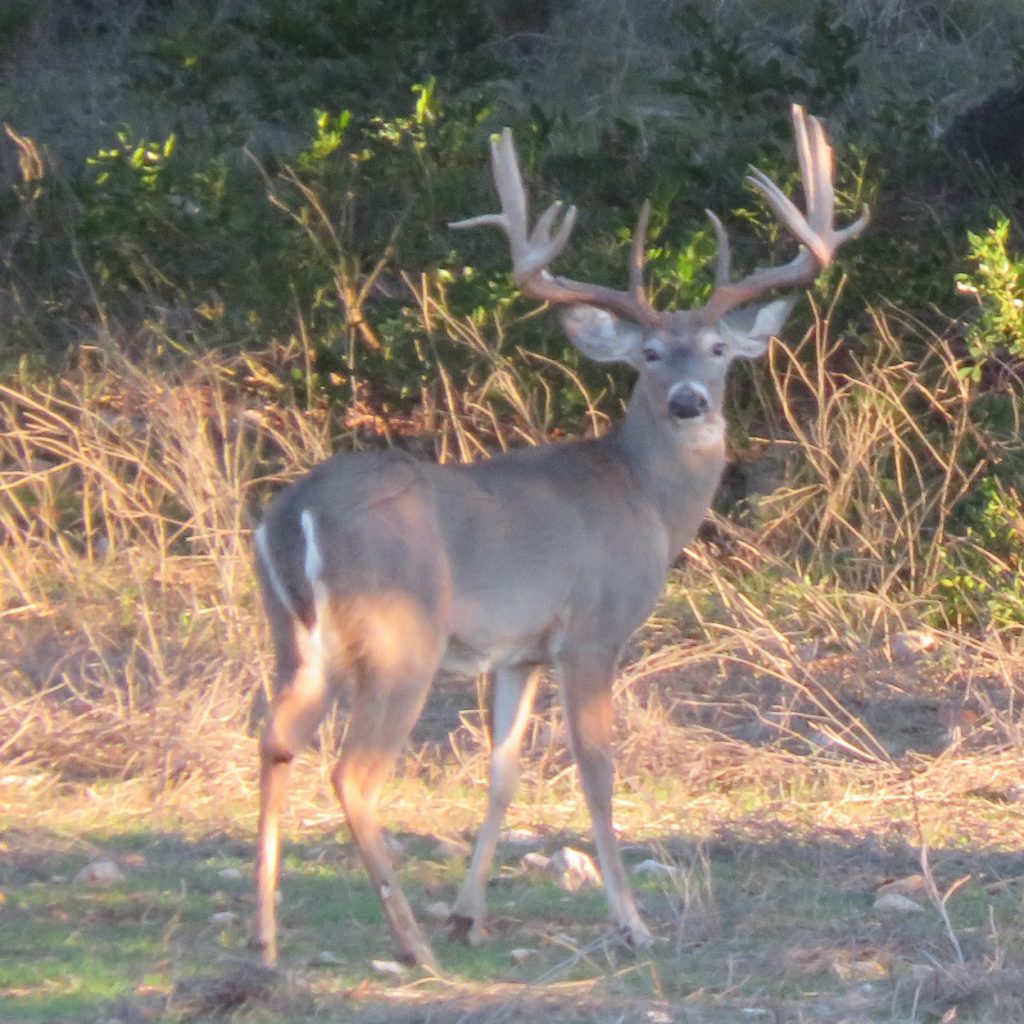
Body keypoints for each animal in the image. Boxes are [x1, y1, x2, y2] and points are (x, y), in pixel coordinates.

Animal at [250, 105, 868, 971]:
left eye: (717, 350)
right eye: (650, 354)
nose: (688, 402)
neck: (644, 500)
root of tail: (294, 510)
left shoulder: (520, 652)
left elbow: (502, 772)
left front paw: (469, 913)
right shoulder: (594, 630)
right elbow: (598, 772)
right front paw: (630, 921)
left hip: (292, 634)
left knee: (275, 741)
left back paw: (268, 940)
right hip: (399, 632)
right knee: (353, 772)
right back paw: (412, 946)